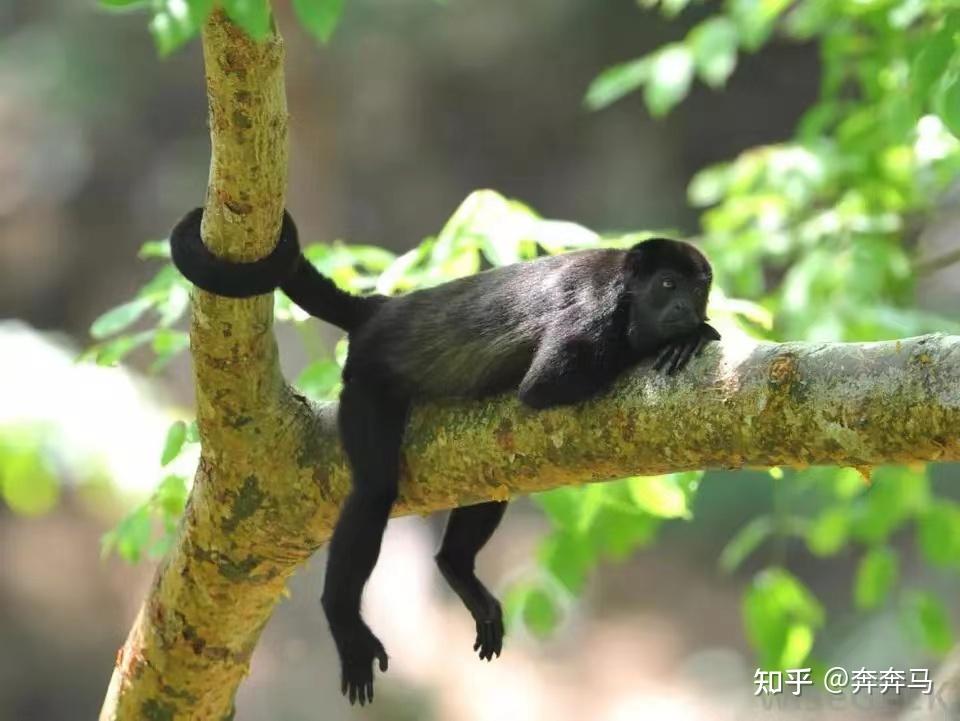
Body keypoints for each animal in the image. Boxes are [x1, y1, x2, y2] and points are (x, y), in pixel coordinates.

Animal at [169, 208, 720, 706]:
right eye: (668, 284)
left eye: (698, 289)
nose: (687, 310)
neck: (627, 294)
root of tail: (380, 310)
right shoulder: (593, 315)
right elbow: (544, 385)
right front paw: (691, 336)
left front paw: (696, 329)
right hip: (366, 380)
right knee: (374, 492)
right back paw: (343, 617)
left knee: (494, 478)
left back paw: (456, 567)